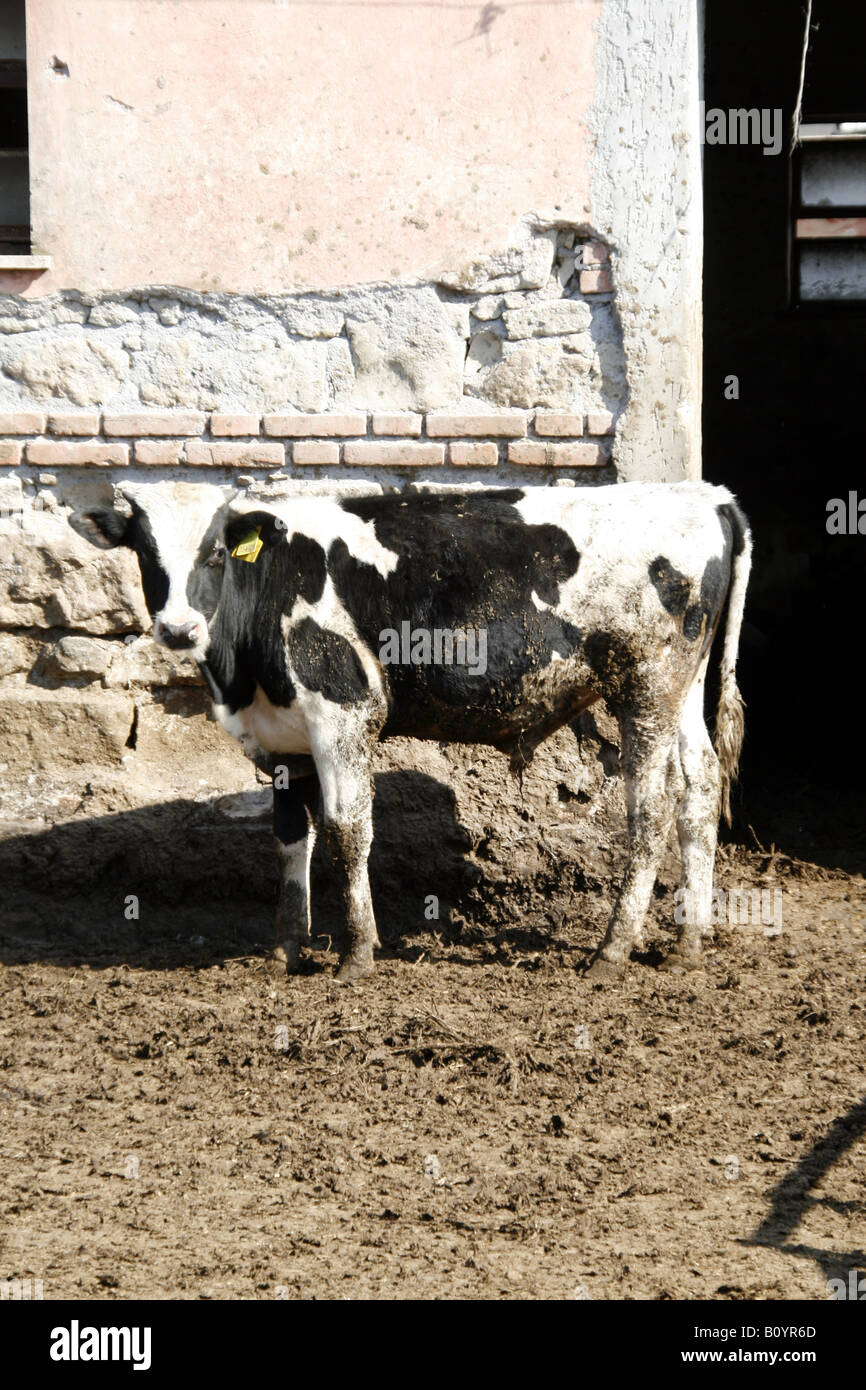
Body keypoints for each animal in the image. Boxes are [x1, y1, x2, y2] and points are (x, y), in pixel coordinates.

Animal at [80, 478, 751, 983]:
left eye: (216, 554)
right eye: (144, 554)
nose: (178, 629)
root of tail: (707, 495)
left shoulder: (343, 715)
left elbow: (347, 833)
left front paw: (356, 955)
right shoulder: (282, 741)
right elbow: (291, 838)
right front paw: (288, 948)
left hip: (646, 687)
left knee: (653, 807)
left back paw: (612, 950)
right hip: (682, 690)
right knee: (698, 790)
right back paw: (689, 939)